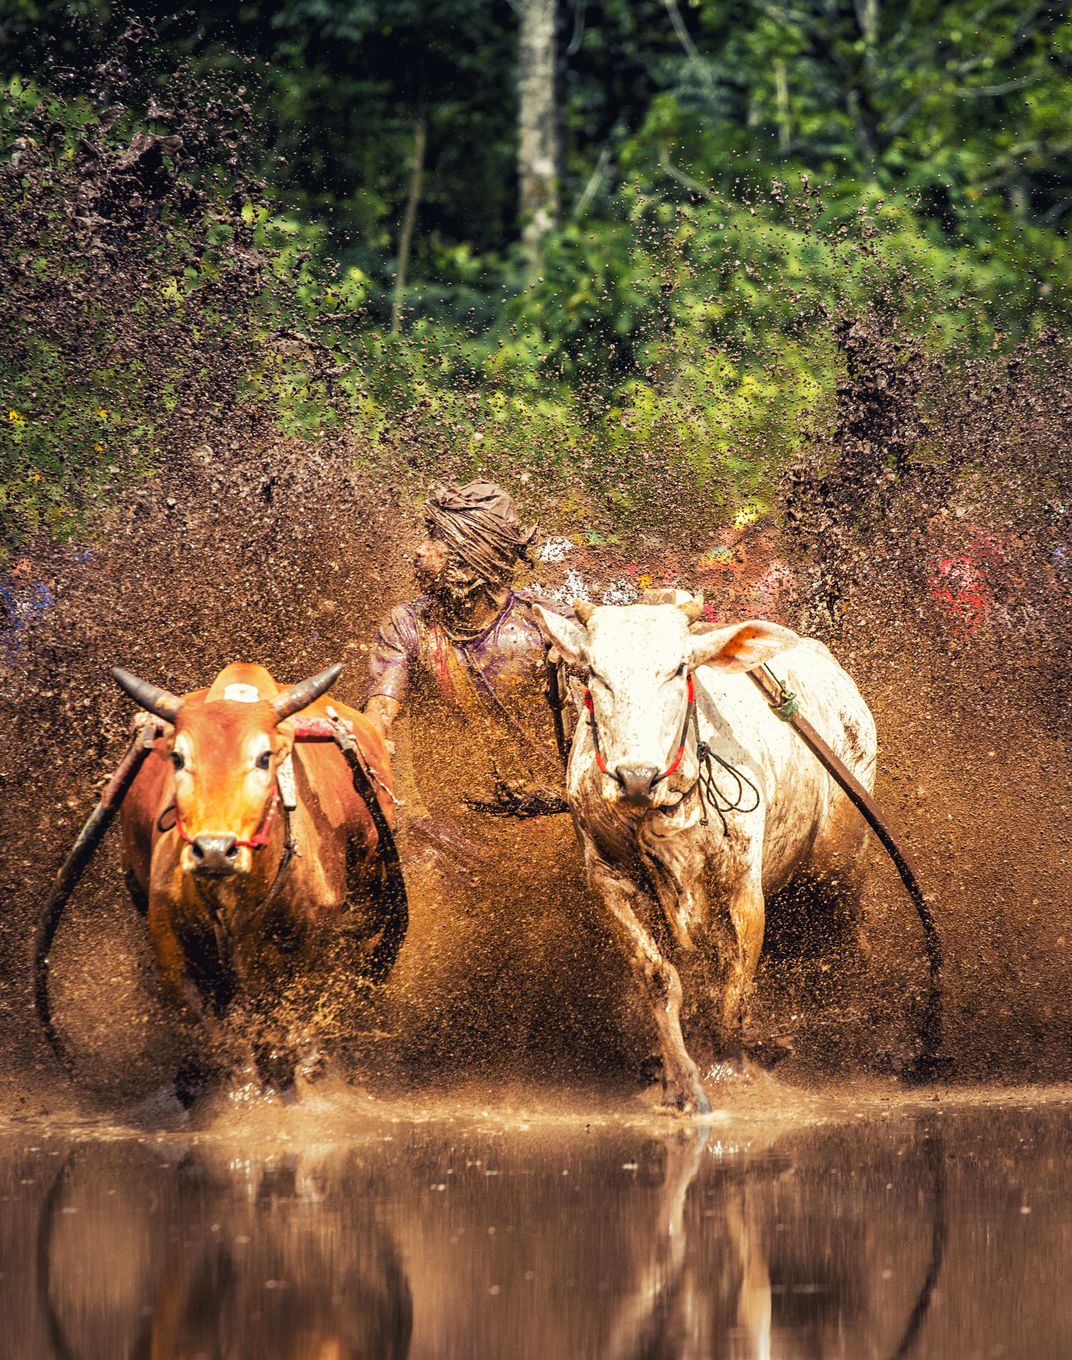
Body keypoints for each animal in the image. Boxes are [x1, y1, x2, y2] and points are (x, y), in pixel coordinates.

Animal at [113, 660, 399, 1103]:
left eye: (264, 758)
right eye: (178, 757)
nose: (214, 850)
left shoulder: (302, 957)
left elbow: (278, 1047)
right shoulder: (169, 948)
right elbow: (211, 1043)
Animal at [533, 597, 877, 1114]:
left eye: (679, 668)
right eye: (594, 671)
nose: (636, 777)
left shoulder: (742, 889)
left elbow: (734, 989)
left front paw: (732, 1070)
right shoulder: (609, 880)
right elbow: (659, 977)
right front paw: (680, 1083)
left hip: (839, 868)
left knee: (842, 945)